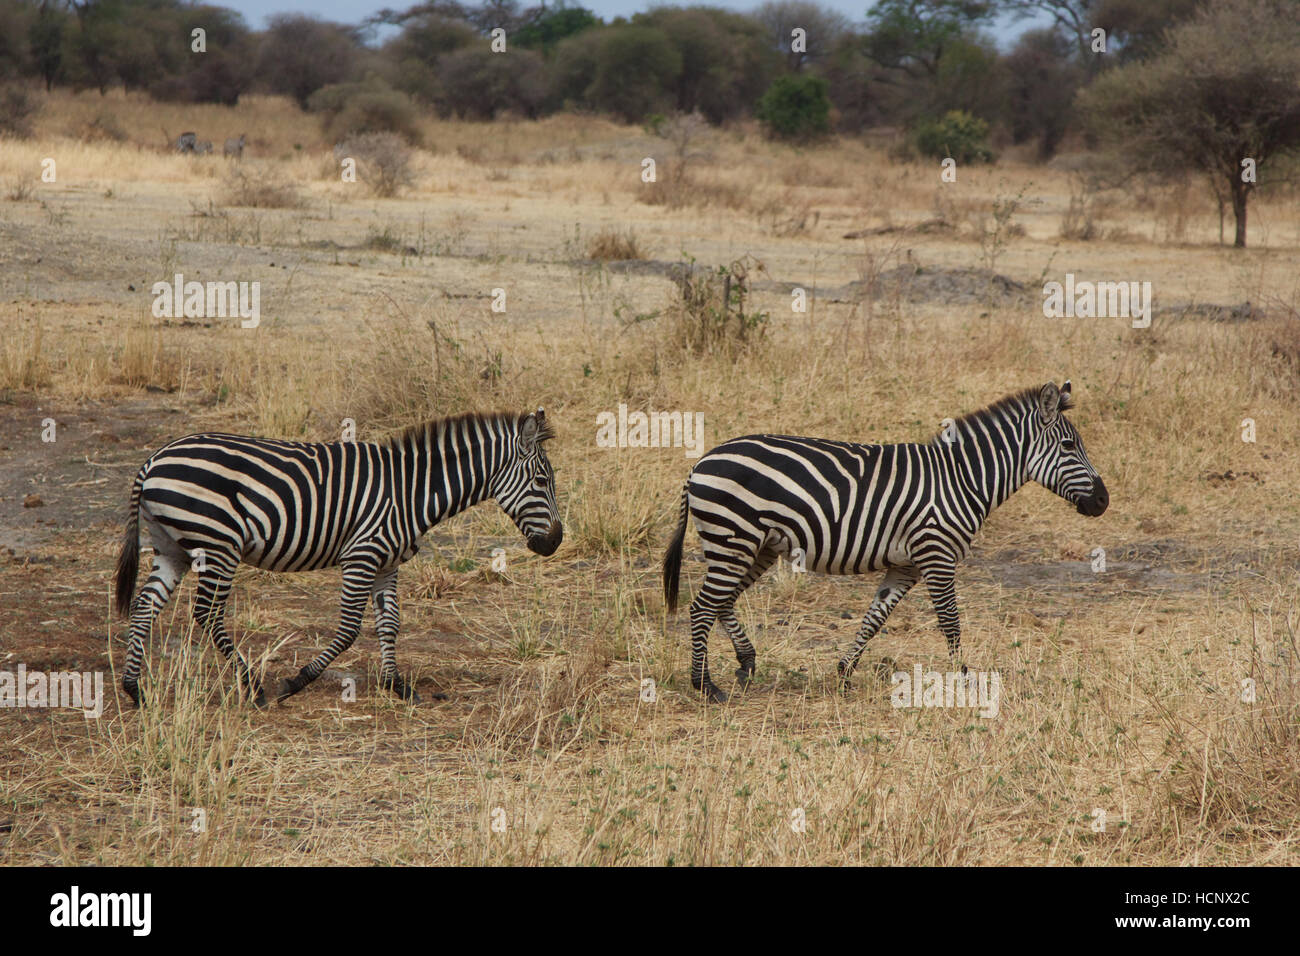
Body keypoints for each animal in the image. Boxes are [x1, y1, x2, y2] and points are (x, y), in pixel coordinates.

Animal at [113, 409, 562, 708]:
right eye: (542, 481)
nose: (555, 542)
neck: (411, 491)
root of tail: (153, 460)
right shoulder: (361, 555)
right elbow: (348, 630)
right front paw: (296, 682)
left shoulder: (387, 563)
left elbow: (390, 624)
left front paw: (397, 685)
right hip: (217, 545)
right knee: (206, 614)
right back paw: (252, 686)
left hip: (173, 546)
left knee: (145, 606)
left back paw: (136, 689)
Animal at [662, 382, 1108, 702]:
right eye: (1069, 446)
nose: (1103, 501)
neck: (962, 479)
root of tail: (700, 462)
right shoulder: (936, 553)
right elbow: (950, 621)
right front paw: (964, 681)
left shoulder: (906, 564)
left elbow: (875, 618)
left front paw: (844, 673)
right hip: (734, 538)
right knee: (702, 606)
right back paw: (705, 685)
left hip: (756, 545)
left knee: (722, 602)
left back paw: (746, 662)